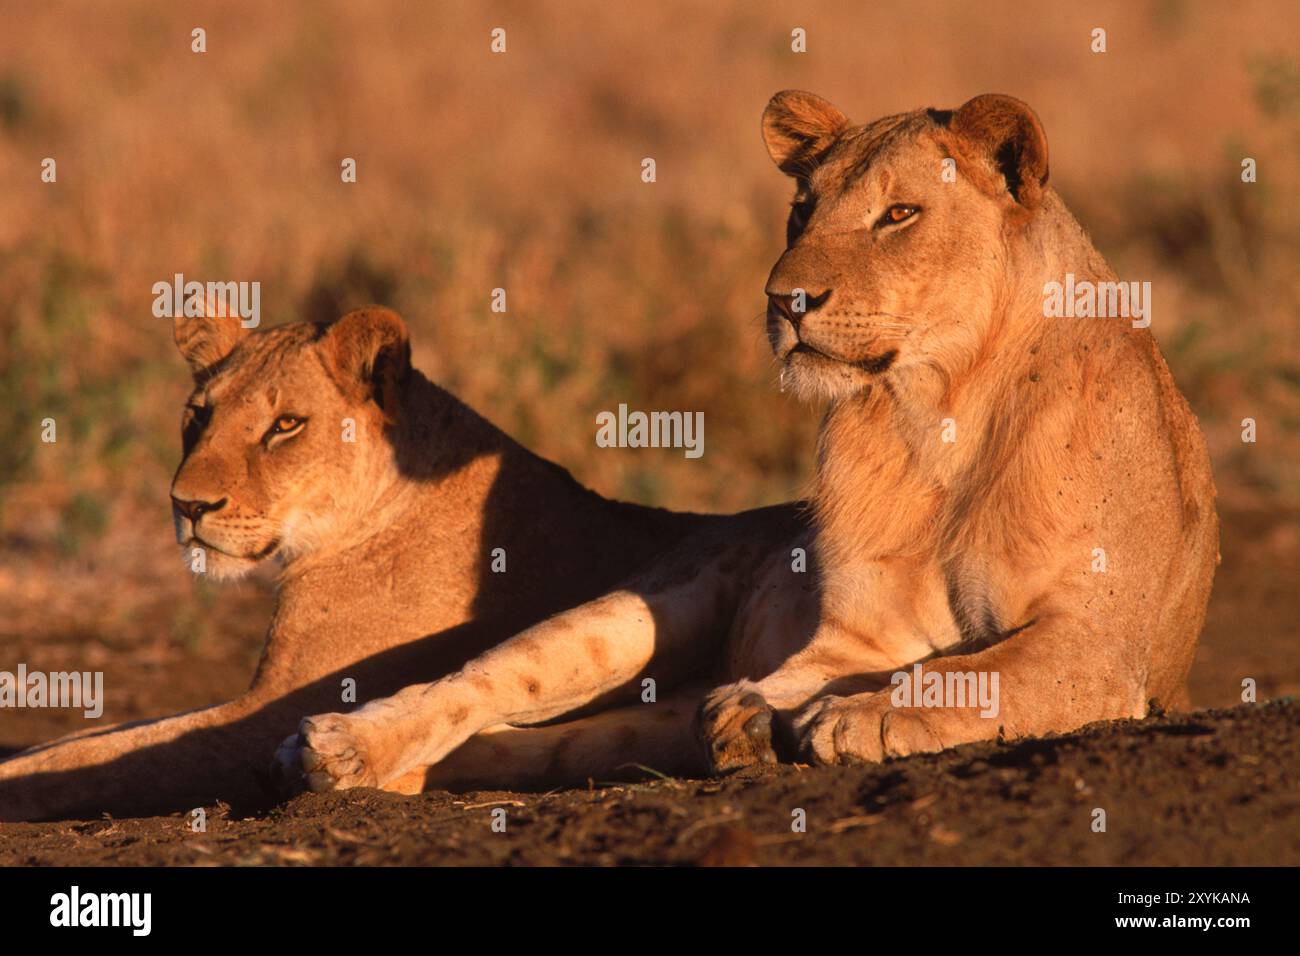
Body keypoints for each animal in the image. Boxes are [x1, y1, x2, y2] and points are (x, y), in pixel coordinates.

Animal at [0, 305, 804, 821]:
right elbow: (81, 741)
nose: (187, 505)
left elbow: (95, 759)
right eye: (198, 414)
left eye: (285, 424)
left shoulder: (271, 712)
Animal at [273, 92, 1218, 793]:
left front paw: (849, 716)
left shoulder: (1096, 639)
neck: (941, 407)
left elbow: (977, 670)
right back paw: (335, 748)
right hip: (633, 615)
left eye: (899, 214)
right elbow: (812, 675)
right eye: (801, 211)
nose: (786, 300)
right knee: (480, 683)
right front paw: (770, 715)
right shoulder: (852, 637)